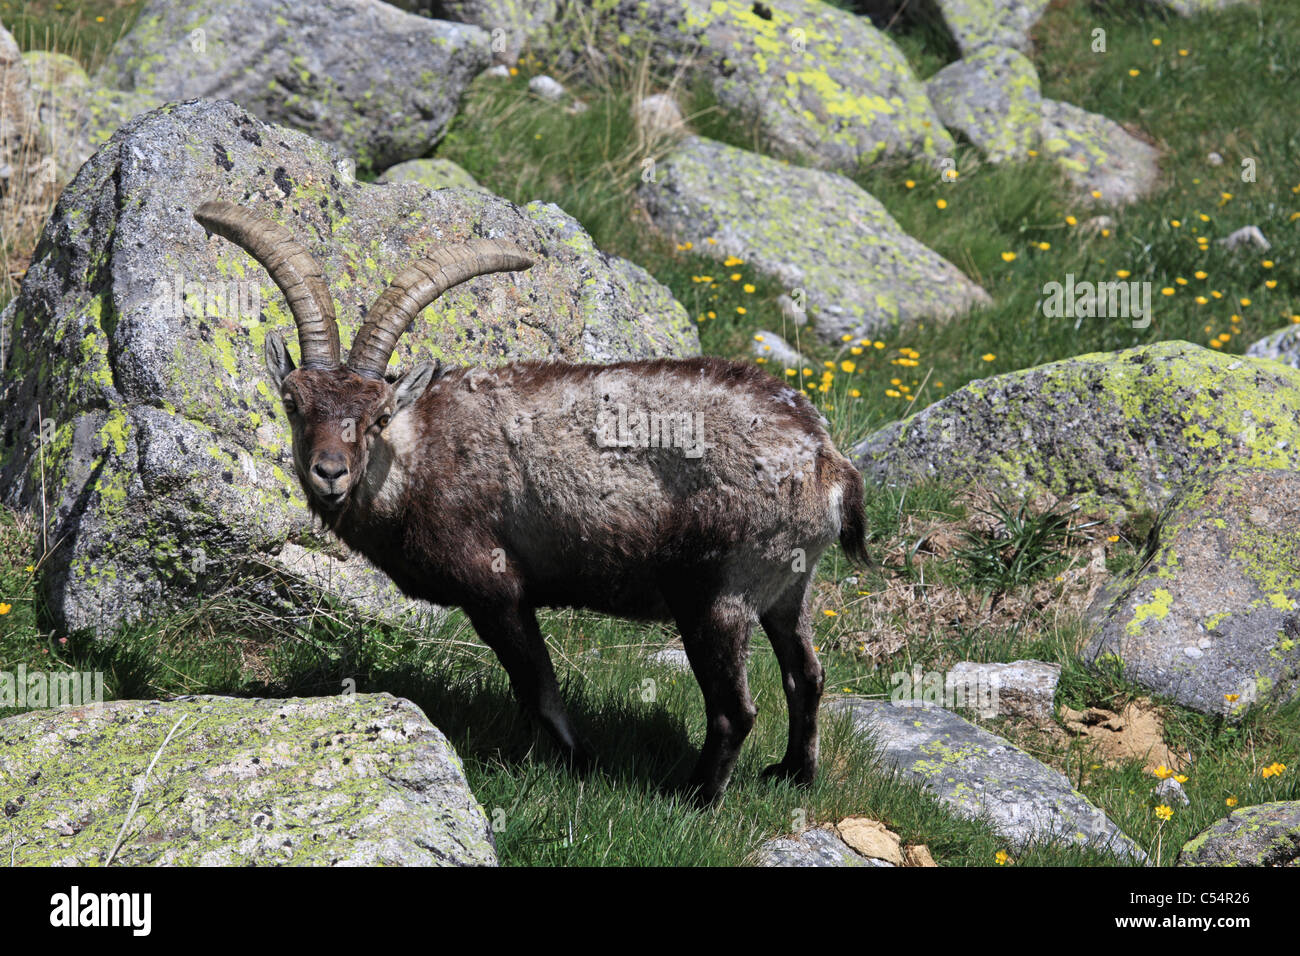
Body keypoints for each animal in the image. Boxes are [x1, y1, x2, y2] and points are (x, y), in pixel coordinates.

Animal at [194, 200, 869, 804]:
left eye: (377, 415)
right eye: (292, 401)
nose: (330, 473)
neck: (416, 457)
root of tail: (826, 460)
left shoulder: (495, 588)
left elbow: (538, 689)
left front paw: (583, 760)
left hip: (717, 595)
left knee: (735, 708)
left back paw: (694, 797)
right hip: (788, 585)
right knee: (806, 675)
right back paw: (793, 774)